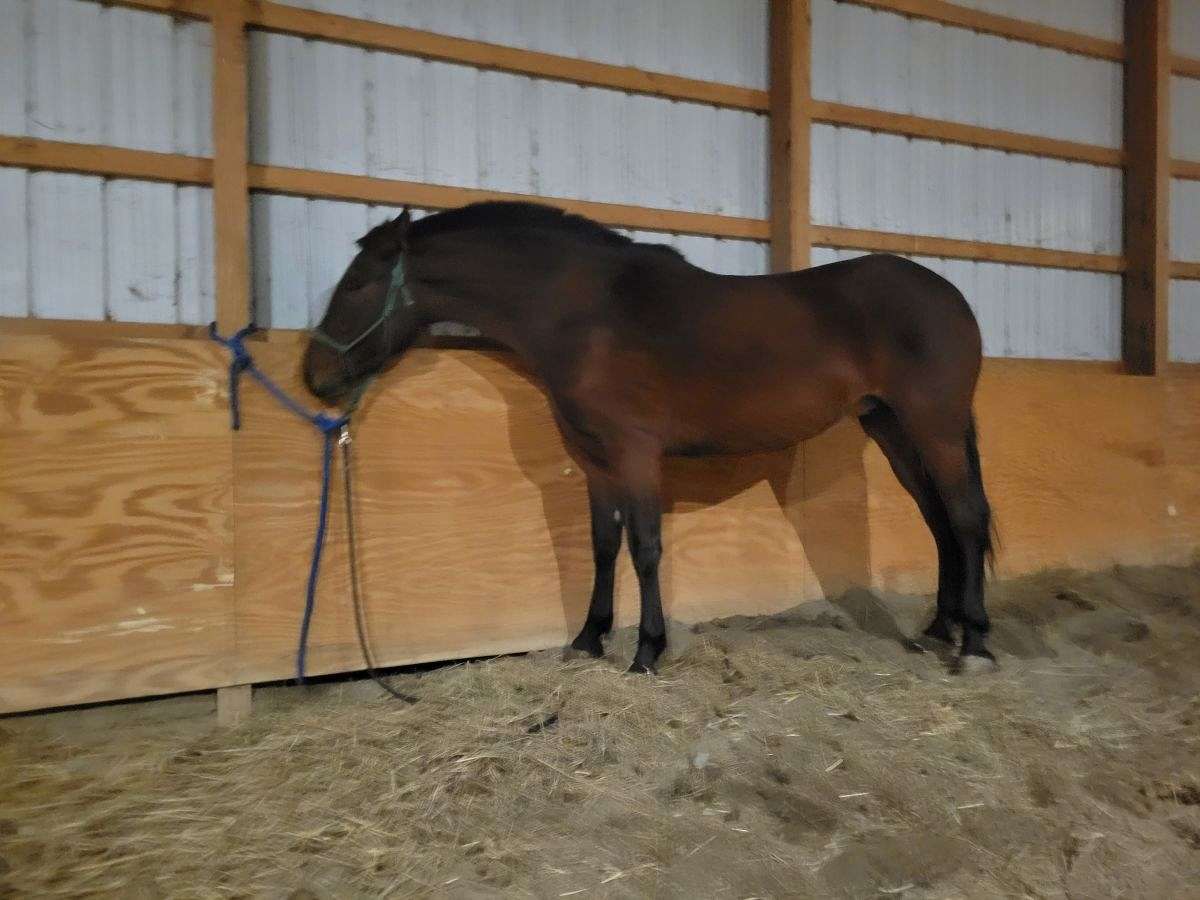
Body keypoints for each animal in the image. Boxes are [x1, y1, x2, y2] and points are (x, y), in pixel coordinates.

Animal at [302, 201, 996, 675]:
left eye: (358, 283)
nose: (314, 375)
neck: (585, 312)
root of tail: (952, 296)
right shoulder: (594, 460)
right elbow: (603, 545)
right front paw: (589, 639)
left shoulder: (635, 454)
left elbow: (644, 548)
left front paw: (646, 652)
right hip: (891, 427)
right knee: (938, 518)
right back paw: (942, 628)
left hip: (932, 426)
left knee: (964, 517)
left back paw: (977, 645)